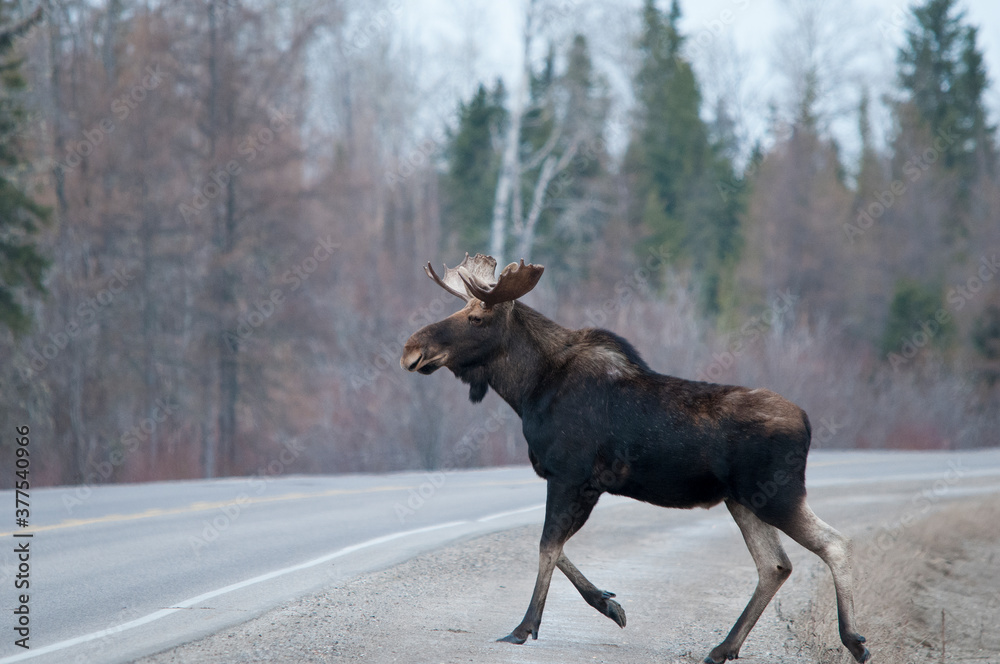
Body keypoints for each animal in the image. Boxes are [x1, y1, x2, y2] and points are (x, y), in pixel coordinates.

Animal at [400, 253, 871, 664]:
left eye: (476, 318)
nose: (410, 349)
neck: (527, 389)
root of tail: (807, 422)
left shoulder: (569, 475)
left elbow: (547, 545)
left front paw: (524, 627)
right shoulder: (585, 484)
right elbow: (555, 545)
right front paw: (609, 604)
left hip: (777, 494)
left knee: (834, 543)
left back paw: (853, 640)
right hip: (743, 500)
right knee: (774, 565)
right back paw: (723, 648)